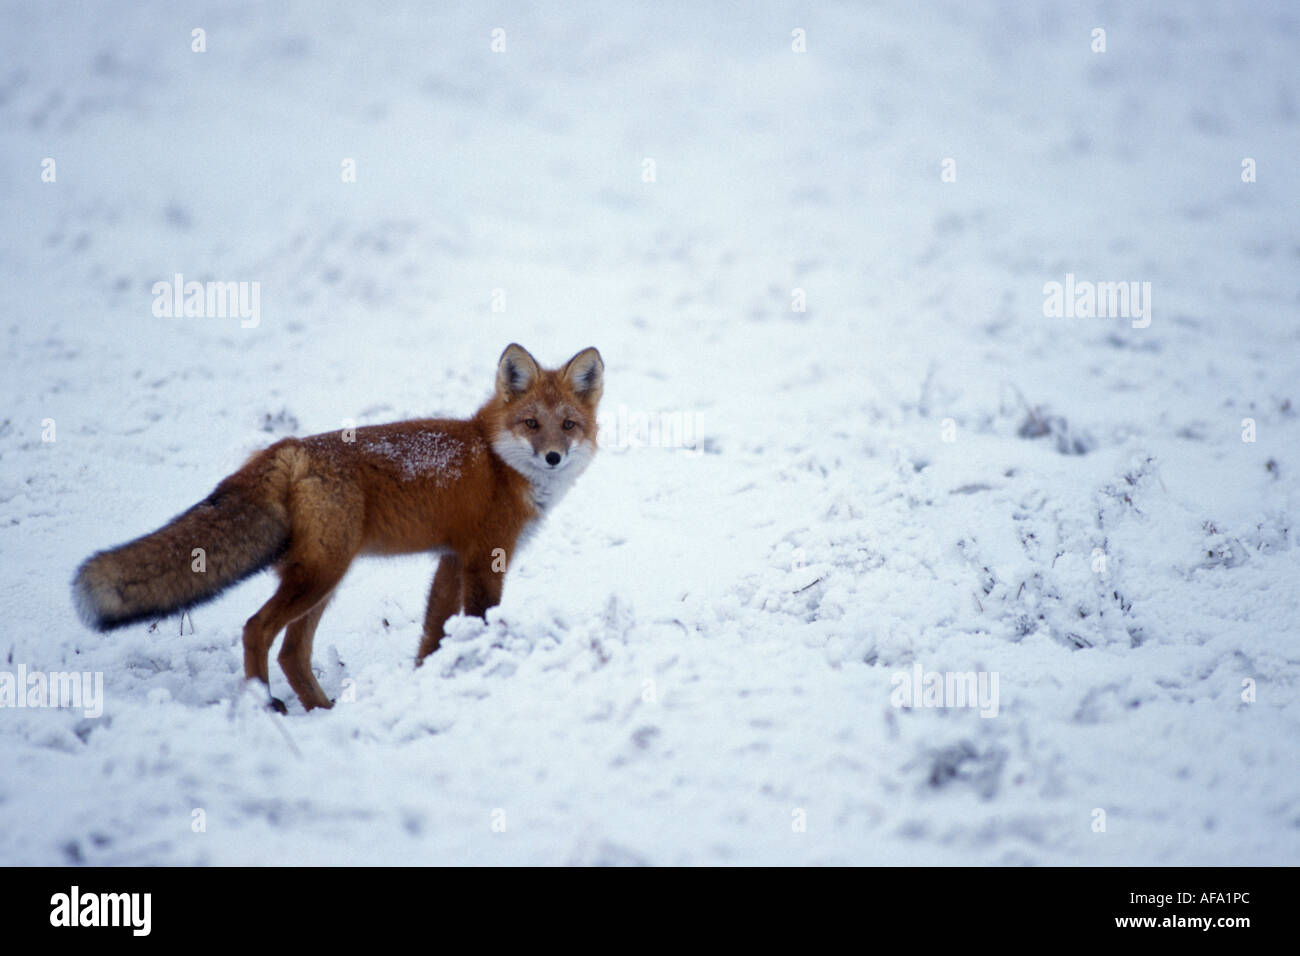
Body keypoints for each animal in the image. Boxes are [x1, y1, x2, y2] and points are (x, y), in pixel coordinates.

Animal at [72, 343, 603, 712]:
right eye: (531, 424)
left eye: (568, 425)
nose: (553, 457)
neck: (496, 461)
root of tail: (287, 447)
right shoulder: (485, 558)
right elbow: (478, 620)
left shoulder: (451, 559)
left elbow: (433, 633)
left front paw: (429, 678)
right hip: (322, 573)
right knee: (256, 629)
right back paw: (266, 705)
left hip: (321, 578)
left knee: (292, 653)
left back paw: (323, 710)